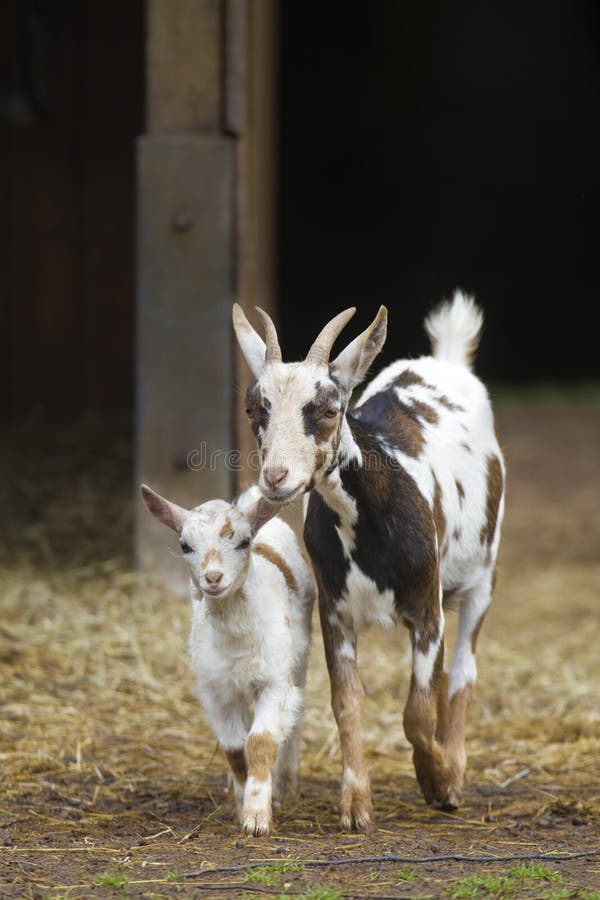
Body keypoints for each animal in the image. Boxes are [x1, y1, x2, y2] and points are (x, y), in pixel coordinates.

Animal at [141, 483, 315, 836]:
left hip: (299, 657)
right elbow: (235, 748)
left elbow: (261, 741)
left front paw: (257, 818)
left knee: (294, 719)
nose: (213, 577)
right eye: (185, 545)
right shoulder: (215, 689)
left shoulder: (274, 680)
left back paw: (285, 784)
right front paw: (240, 801)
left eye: (243, 542)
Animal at [233, 291, 505, 832]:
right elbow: (347, 701)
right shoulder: (335, 611)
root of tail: (445, 359)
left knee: (463, 672)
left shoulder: (426, 609)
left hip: (481, 577)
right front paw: (356, 804)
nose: (275, 477)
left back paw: (454, 765)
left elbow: (417, 713)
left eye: (329, 408)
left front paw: (440, 782)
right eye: (255, 407)